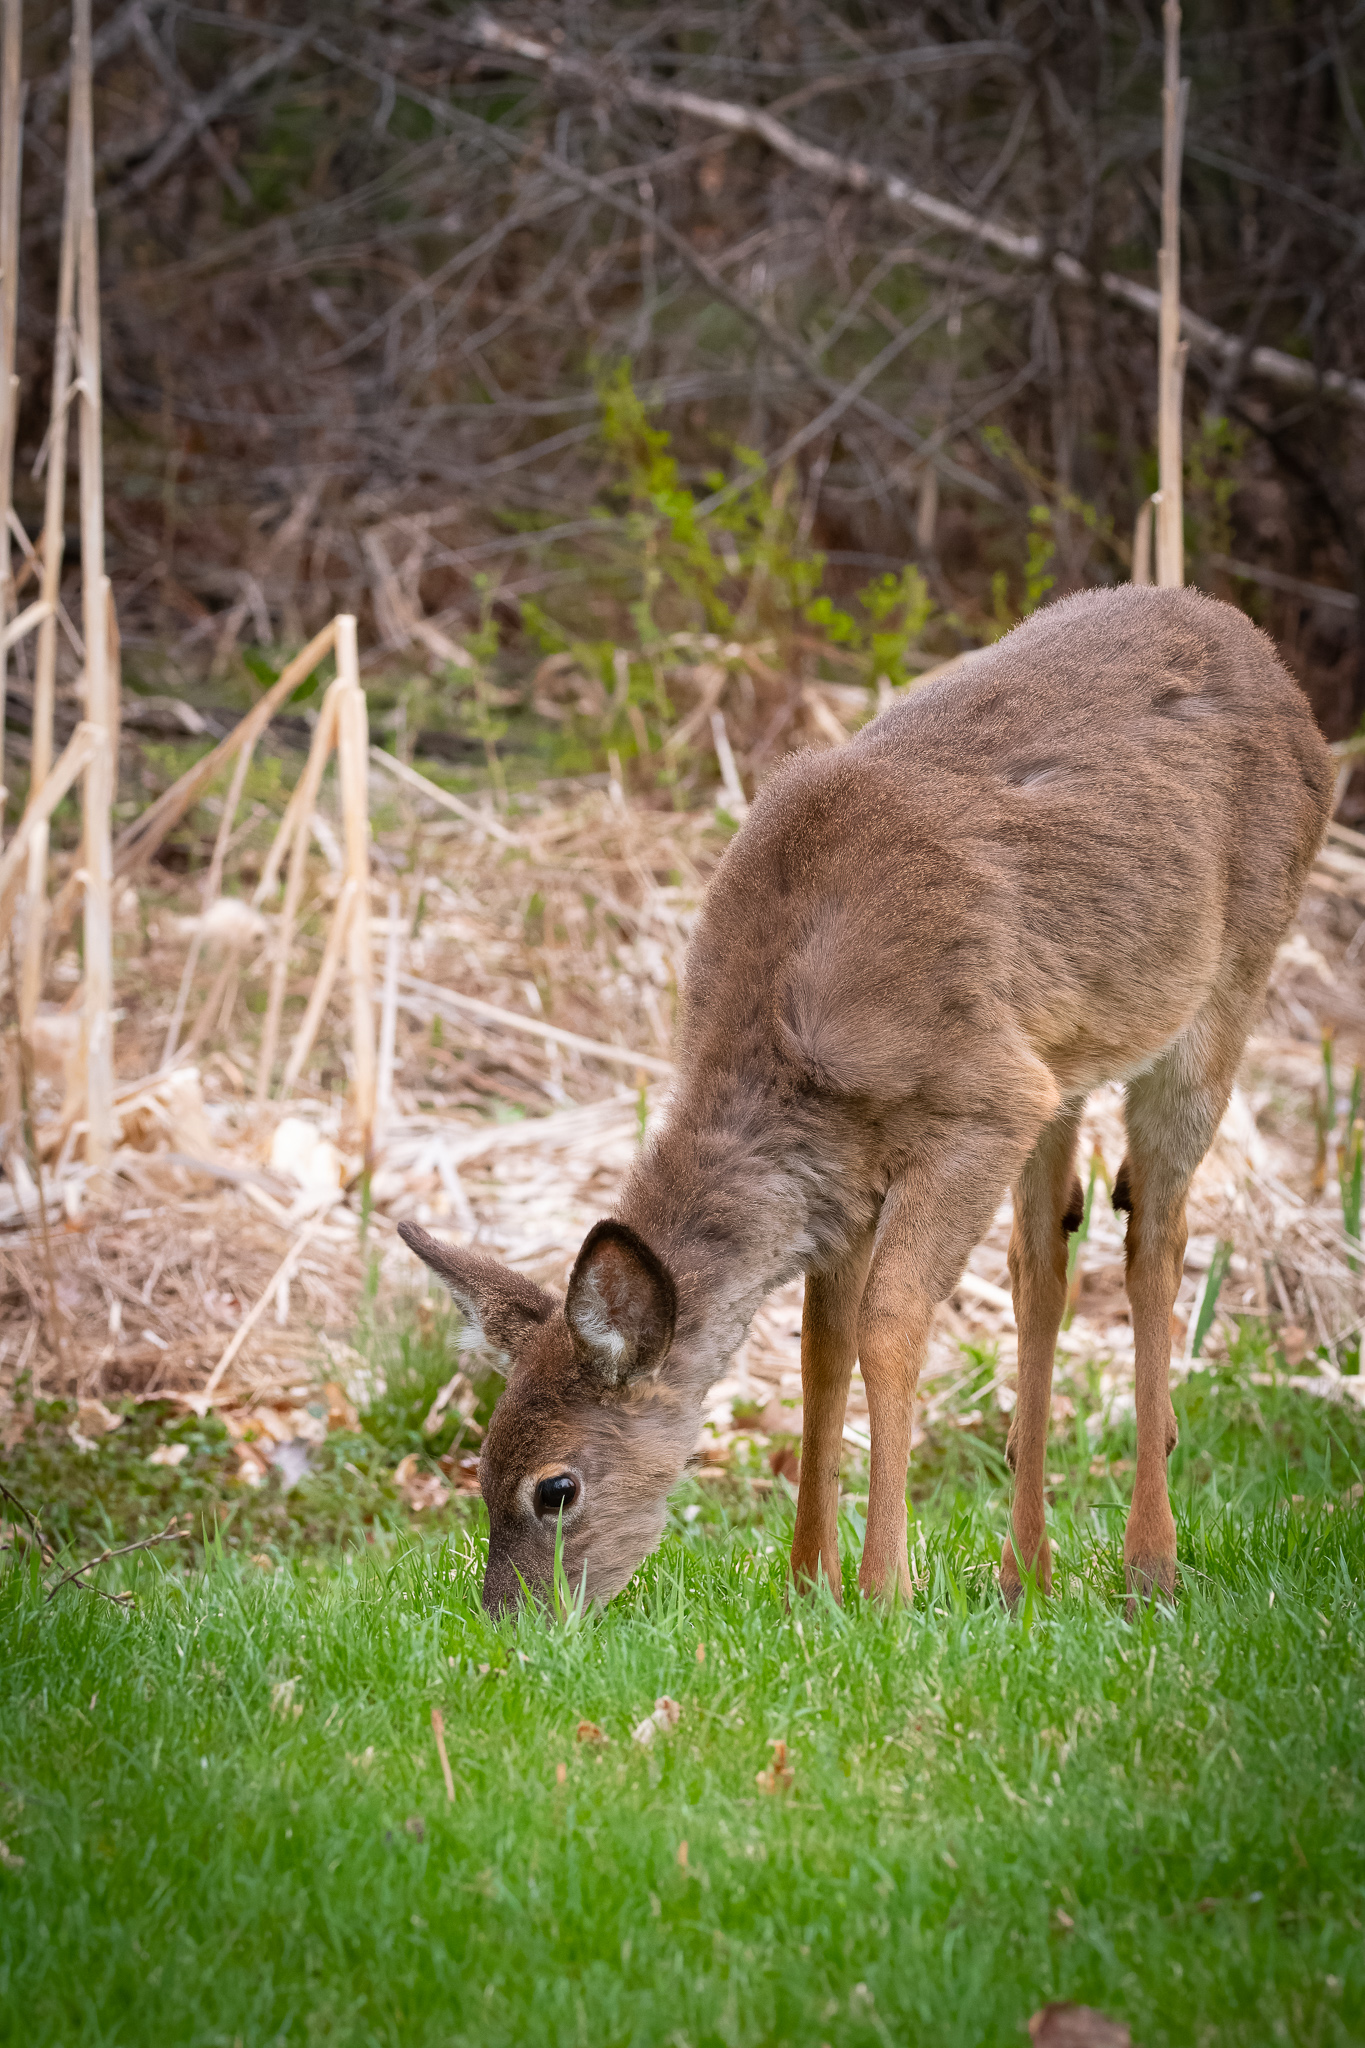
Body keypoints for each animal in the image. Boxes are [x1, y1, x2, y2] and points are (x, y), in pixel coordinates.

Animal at [399, 585, 1333, 1616]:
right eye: (480, 1470)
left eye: (555, 1488)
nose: (508, 1620)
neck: (789, 1051)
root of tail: (1255, 648)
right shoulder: (846, 1170)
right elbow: (821, 1345)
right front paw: (809, 1584)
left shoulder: (980, 1100)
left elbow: (889, 1324)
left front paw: (884, 1589)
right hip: (1062, 1060)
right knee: (1042, 1262)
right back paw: (1024, 1575)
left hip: (1224, 985)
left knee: (1155, 1240)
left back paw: (1148, 1567)